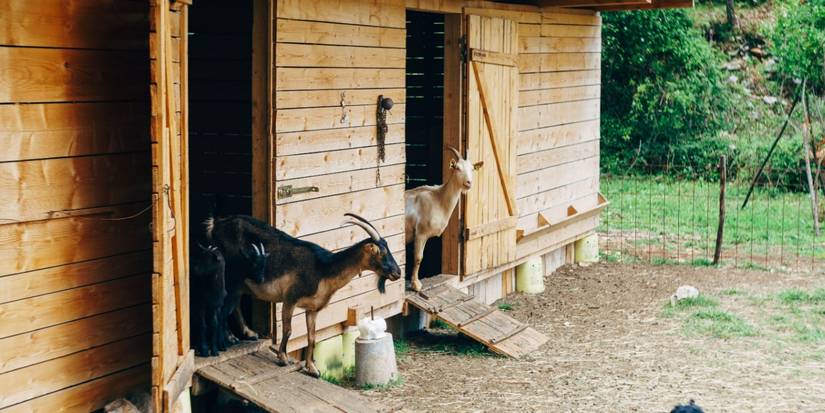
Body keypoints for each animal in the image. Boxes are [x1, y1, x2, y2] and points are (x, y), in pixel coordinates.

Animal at [206, 213, 401, 377]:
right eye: (381, 252)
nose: (397, 273)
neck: (322, 269)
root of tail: (215, 225)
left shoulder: (312, 309)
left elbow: (312, 338)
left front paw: (313, 369)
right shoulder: (290, 299)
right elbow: (288, 330)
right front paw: (283, 358)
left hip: (240, 284)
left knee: (235, 304)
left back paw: (247, 333)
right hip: (229, 278)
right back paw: (230, 338)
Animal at [405, 146, 474, 291]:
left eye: (472, 168)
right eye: (457, 168)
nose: (468, 183)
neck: (438, 199)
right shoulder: (420, 233)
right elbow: (418, 258)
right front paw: (416, 285)